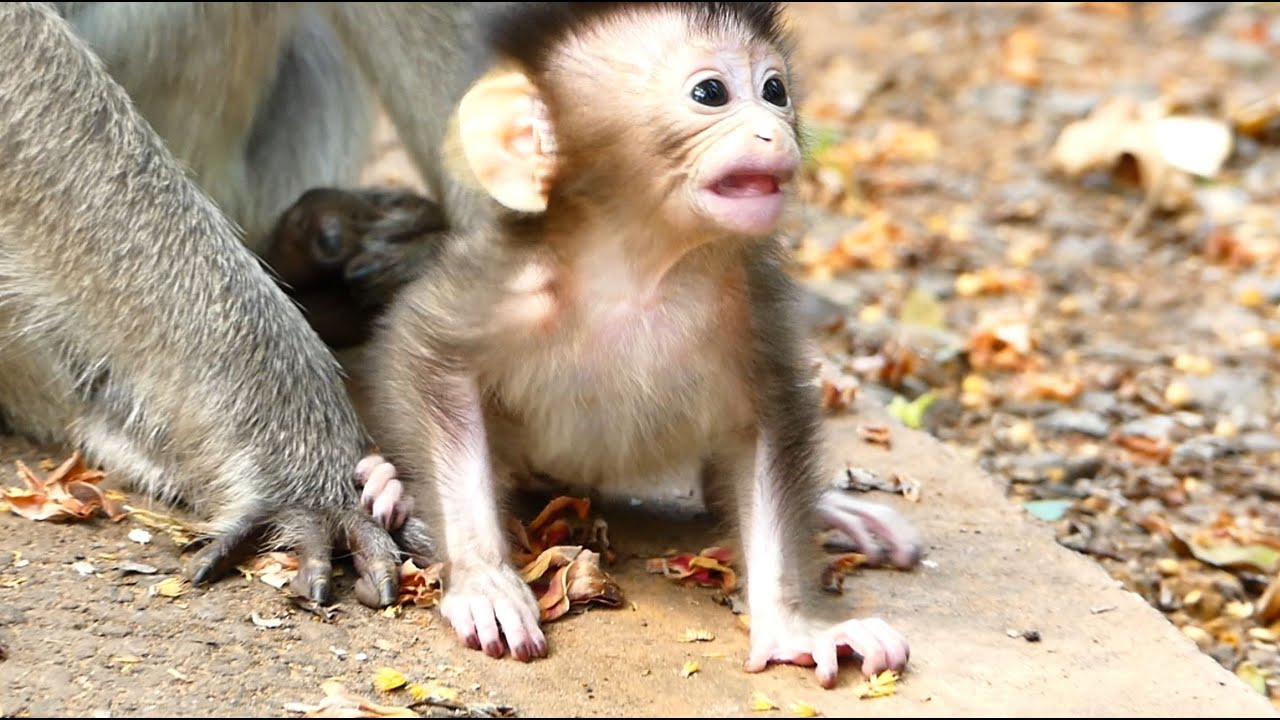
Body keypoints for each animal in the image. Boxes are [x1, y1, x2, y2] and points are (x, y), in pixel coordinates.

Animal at [356, 2, 921, 688]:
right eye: (711, 93)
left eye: (774, 90)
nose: (772, 132)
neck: (642, 269)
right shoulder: (508, 286)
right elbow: (424, 355)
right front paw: (483, 580)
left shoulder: (749, 303)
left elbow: (764, 427)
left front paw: (793, 627)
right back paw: (392, 482)